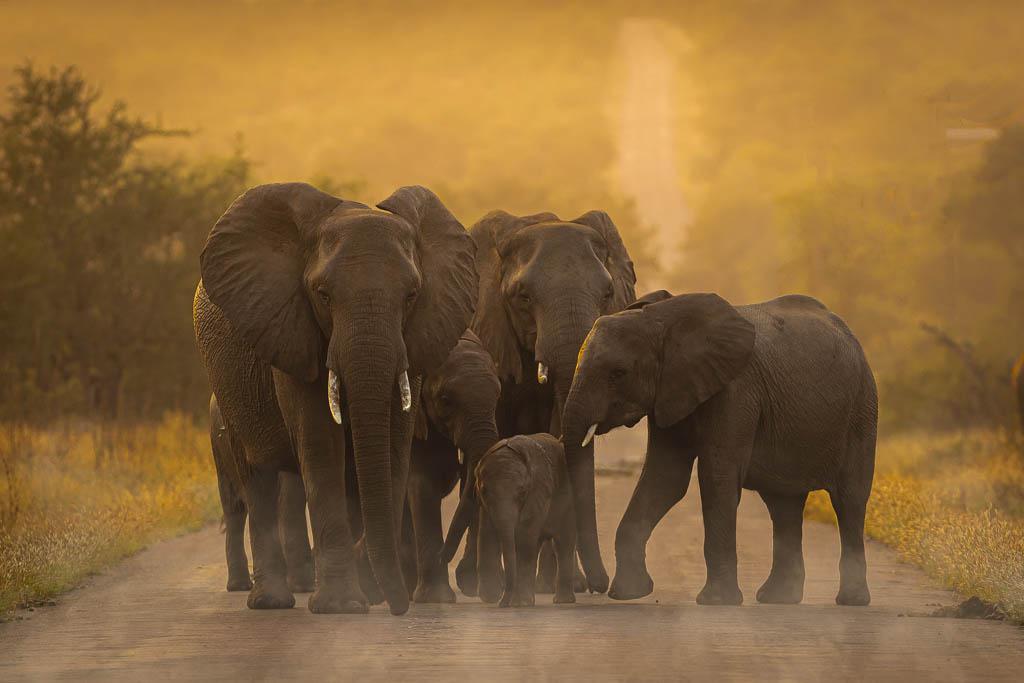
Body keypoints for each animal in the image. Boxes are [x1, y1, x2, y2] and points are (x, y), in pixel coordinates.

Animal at [441, 433, 576, 607]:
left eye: (522, 492)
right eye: (484, 490)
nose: (502, 603)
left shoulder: (537, 493)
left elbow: (524, 539)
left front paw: (519, 603)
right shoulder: (486, 505)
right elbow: (487, 535)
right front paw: (492, 597)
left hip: (567, 499)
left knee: (562, 543)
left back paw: (561, 601)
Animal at [467, 209, 636, 595]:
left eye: (607, 293)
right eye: (523, 296)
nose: (602, 585)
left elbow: (558, 434)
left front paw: (553, 584)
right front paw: (494, 587)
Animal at [562, 290, 878, 607]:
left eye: (618, 373)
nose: (598, 588)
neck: (661, 319)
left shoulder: (736, 390)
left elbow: (716, 475)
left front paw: (715, 601)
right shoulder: (672, 391)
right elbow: (664, 477)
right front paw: (629, 593)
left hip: (861, 410)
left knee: (849, 500)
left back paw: (851, 600)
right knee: (783, 505)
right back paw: (777, 598)